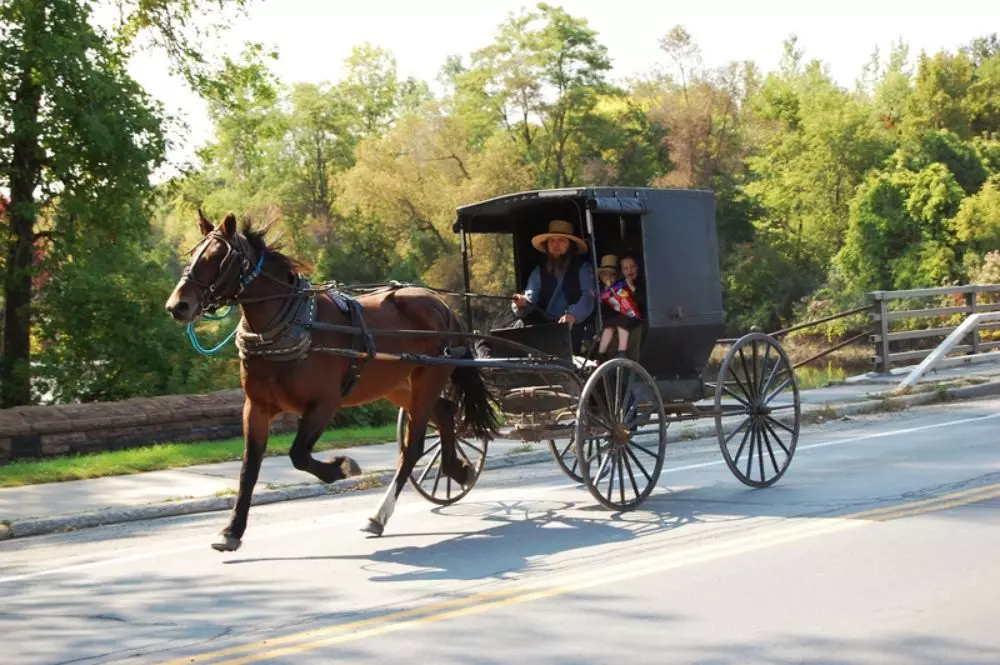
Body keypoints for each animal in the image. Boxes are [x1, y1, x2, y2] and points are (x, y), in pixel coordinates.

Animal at [163, 211, 500, 548]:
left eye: (218, 257)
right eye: (192, 254)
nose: (177, 305)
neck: (293, 325)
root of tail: (441, 305)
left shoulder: (324, 404)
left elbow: (298, 454)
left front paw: (340, 468)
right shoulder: (256, 407)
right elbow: (250, 467)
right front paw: (232, 530)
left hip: (428, 377)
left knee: (413, 447)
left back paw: (378, 516)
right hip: (397, 384)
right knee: (444, 413)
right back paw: (457, 469)